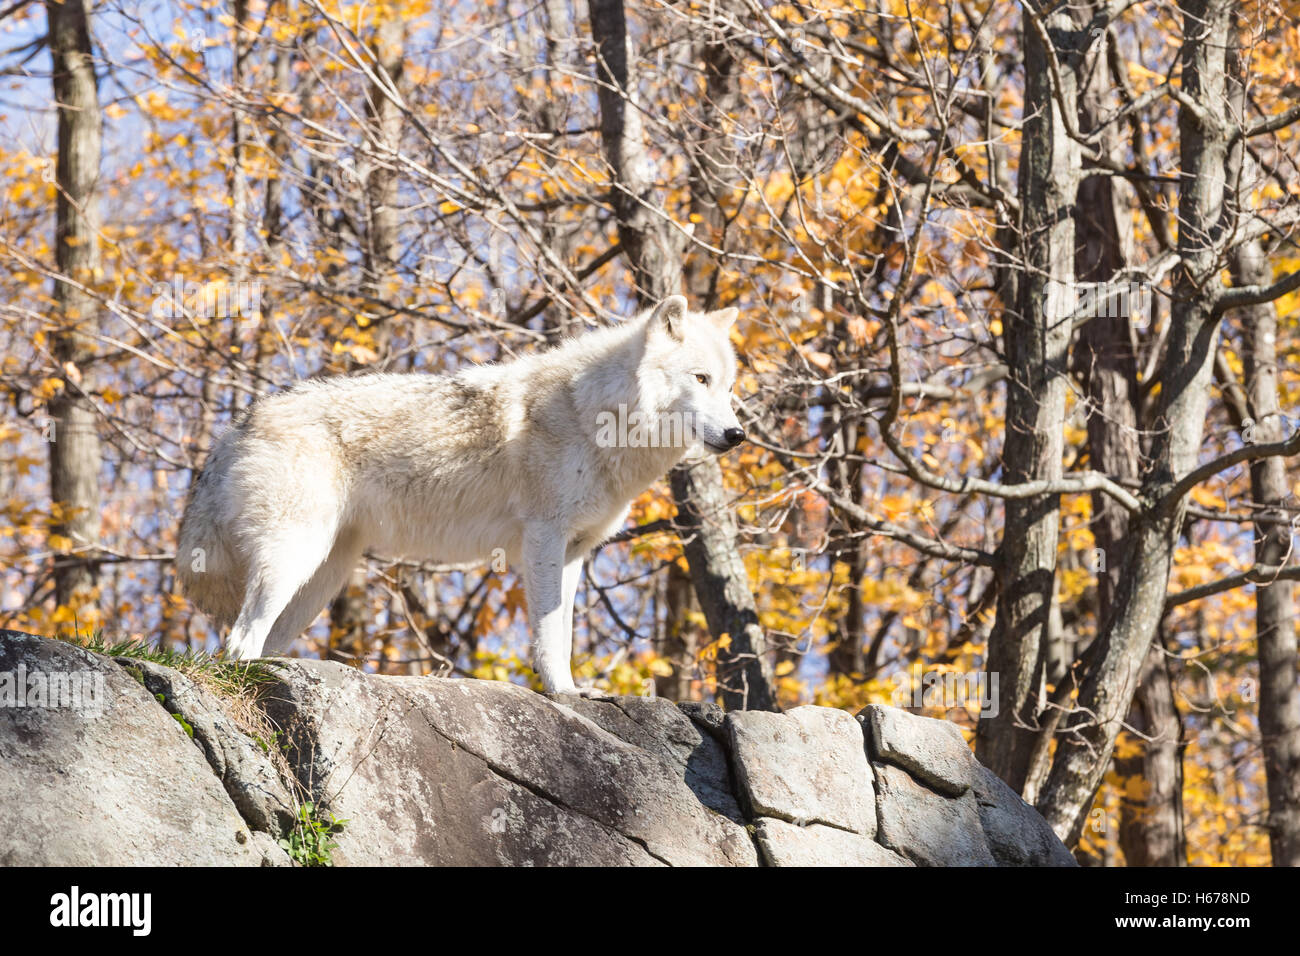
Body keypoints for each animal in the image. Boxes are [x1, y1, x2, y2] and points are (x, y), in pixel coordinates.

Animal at [176, 295, 745, 694]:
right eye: (701, 378)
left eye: (729, 386)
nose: (737, 434)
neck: (595, 414)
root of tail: (240, 424)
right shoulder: (543, 538)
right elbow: (549, 632)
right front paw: (563, 694)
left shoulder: (575, 551)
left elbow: (562, 632)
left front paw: (574, 690)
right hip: (294, 558)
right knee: (237, 641)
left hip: (321, 579)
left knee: (252, 640)